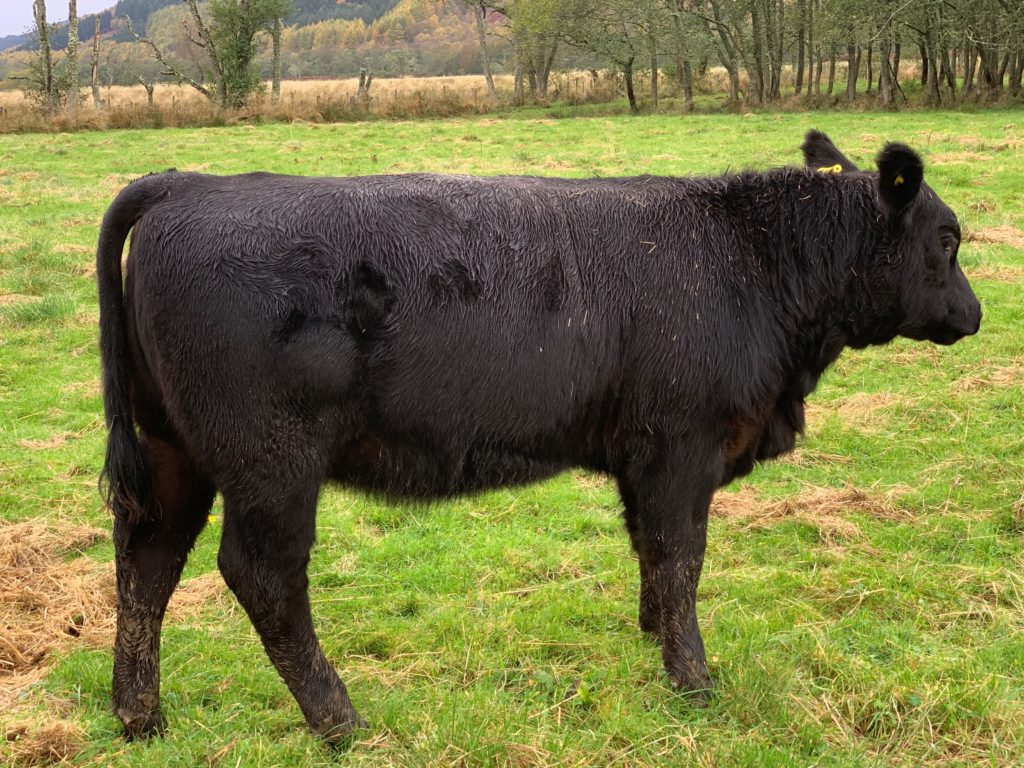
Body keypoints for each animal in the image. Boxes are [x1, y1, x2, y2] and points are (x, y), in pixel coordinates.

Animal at [97, 131, 981, 741]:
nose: (975, 314)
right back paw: (337, 718)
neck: (749, 263)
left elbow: (650, 552)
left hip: (173, 452)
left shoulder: (639, 454)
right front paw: (693, 678)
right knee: (262, 577)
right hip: (272, 464)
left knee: (147, 564)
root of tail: (191, 183)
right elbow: (681, 555)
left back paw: (141, 717)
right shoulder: (680, 445)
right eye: (946, 240)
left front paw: (653, 636)